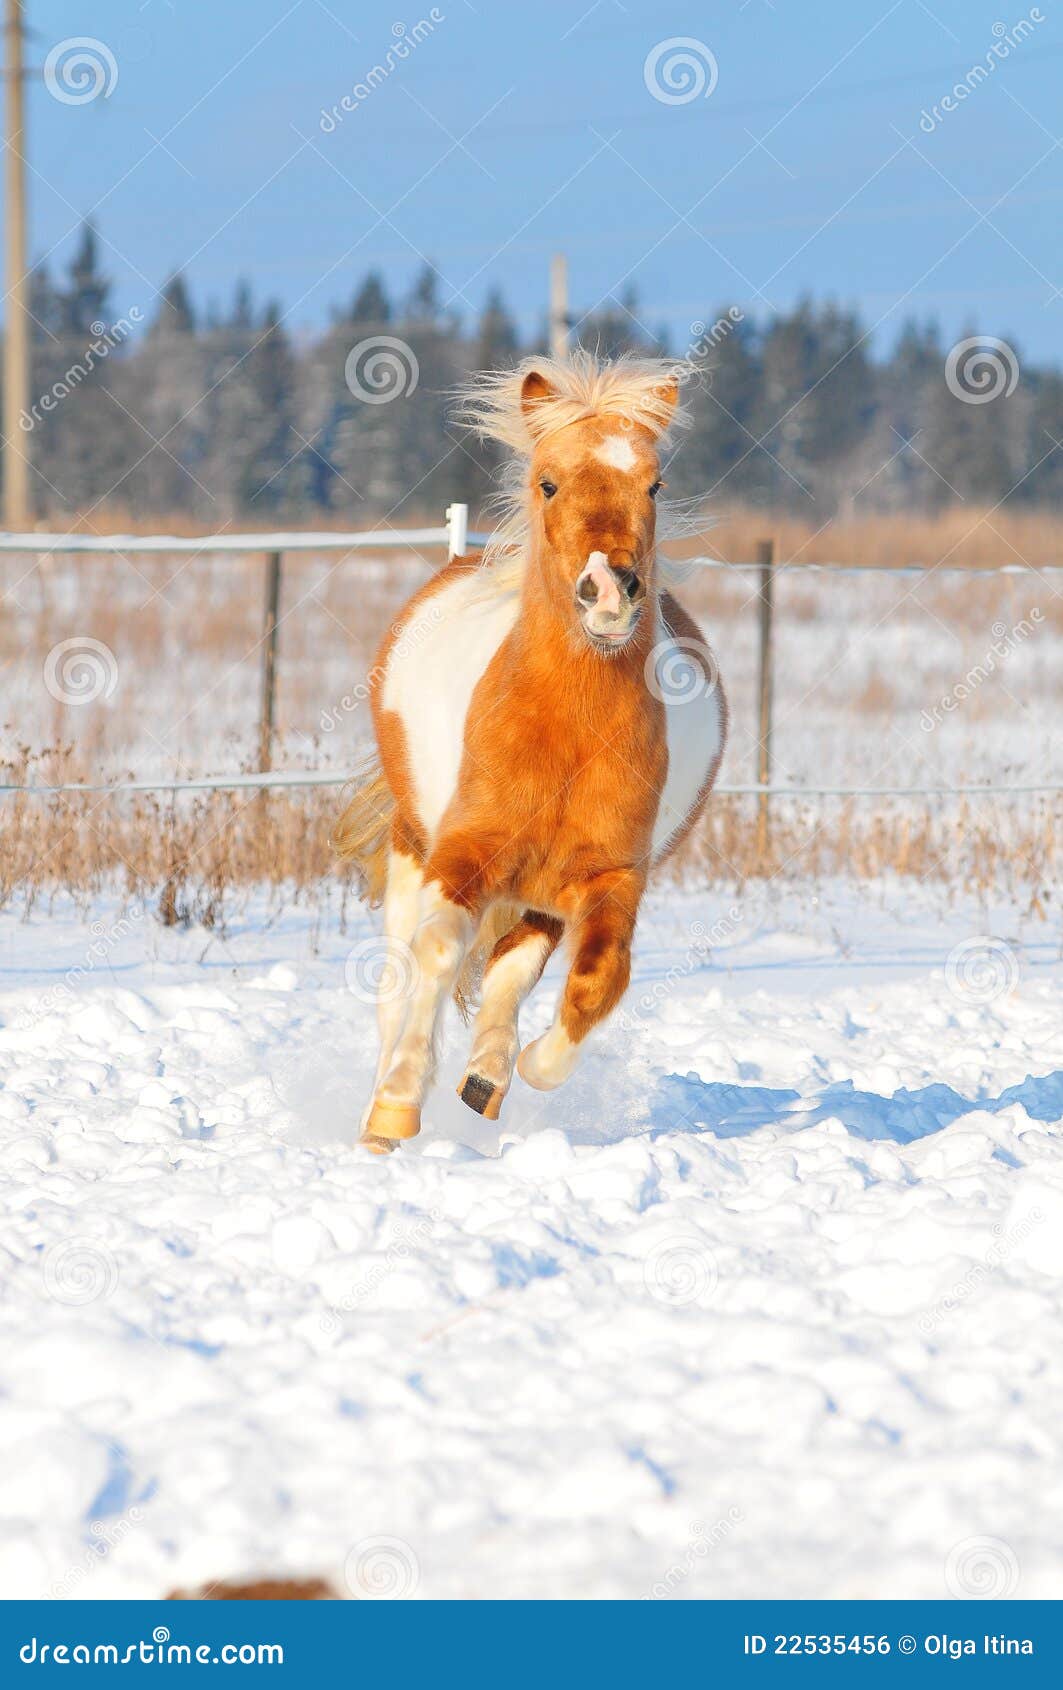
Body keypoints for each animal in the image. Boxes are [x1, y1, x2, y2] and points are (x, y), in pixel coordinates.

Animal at [335, 352, 727, 1152]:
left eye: (655, 484)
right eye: (548, 481)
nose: (608, 592)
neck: (564, 736)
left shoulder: (612, 878)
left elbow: (597, 981)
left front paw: (517, 1070)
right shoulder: (461, 857)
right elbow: (437, 954)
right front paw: (397, 1107)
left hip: (542, 891)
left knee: (512, 964)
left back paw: (485, 1077)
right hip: (411, 842)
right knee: (399, 979)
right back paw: (383, 1109)